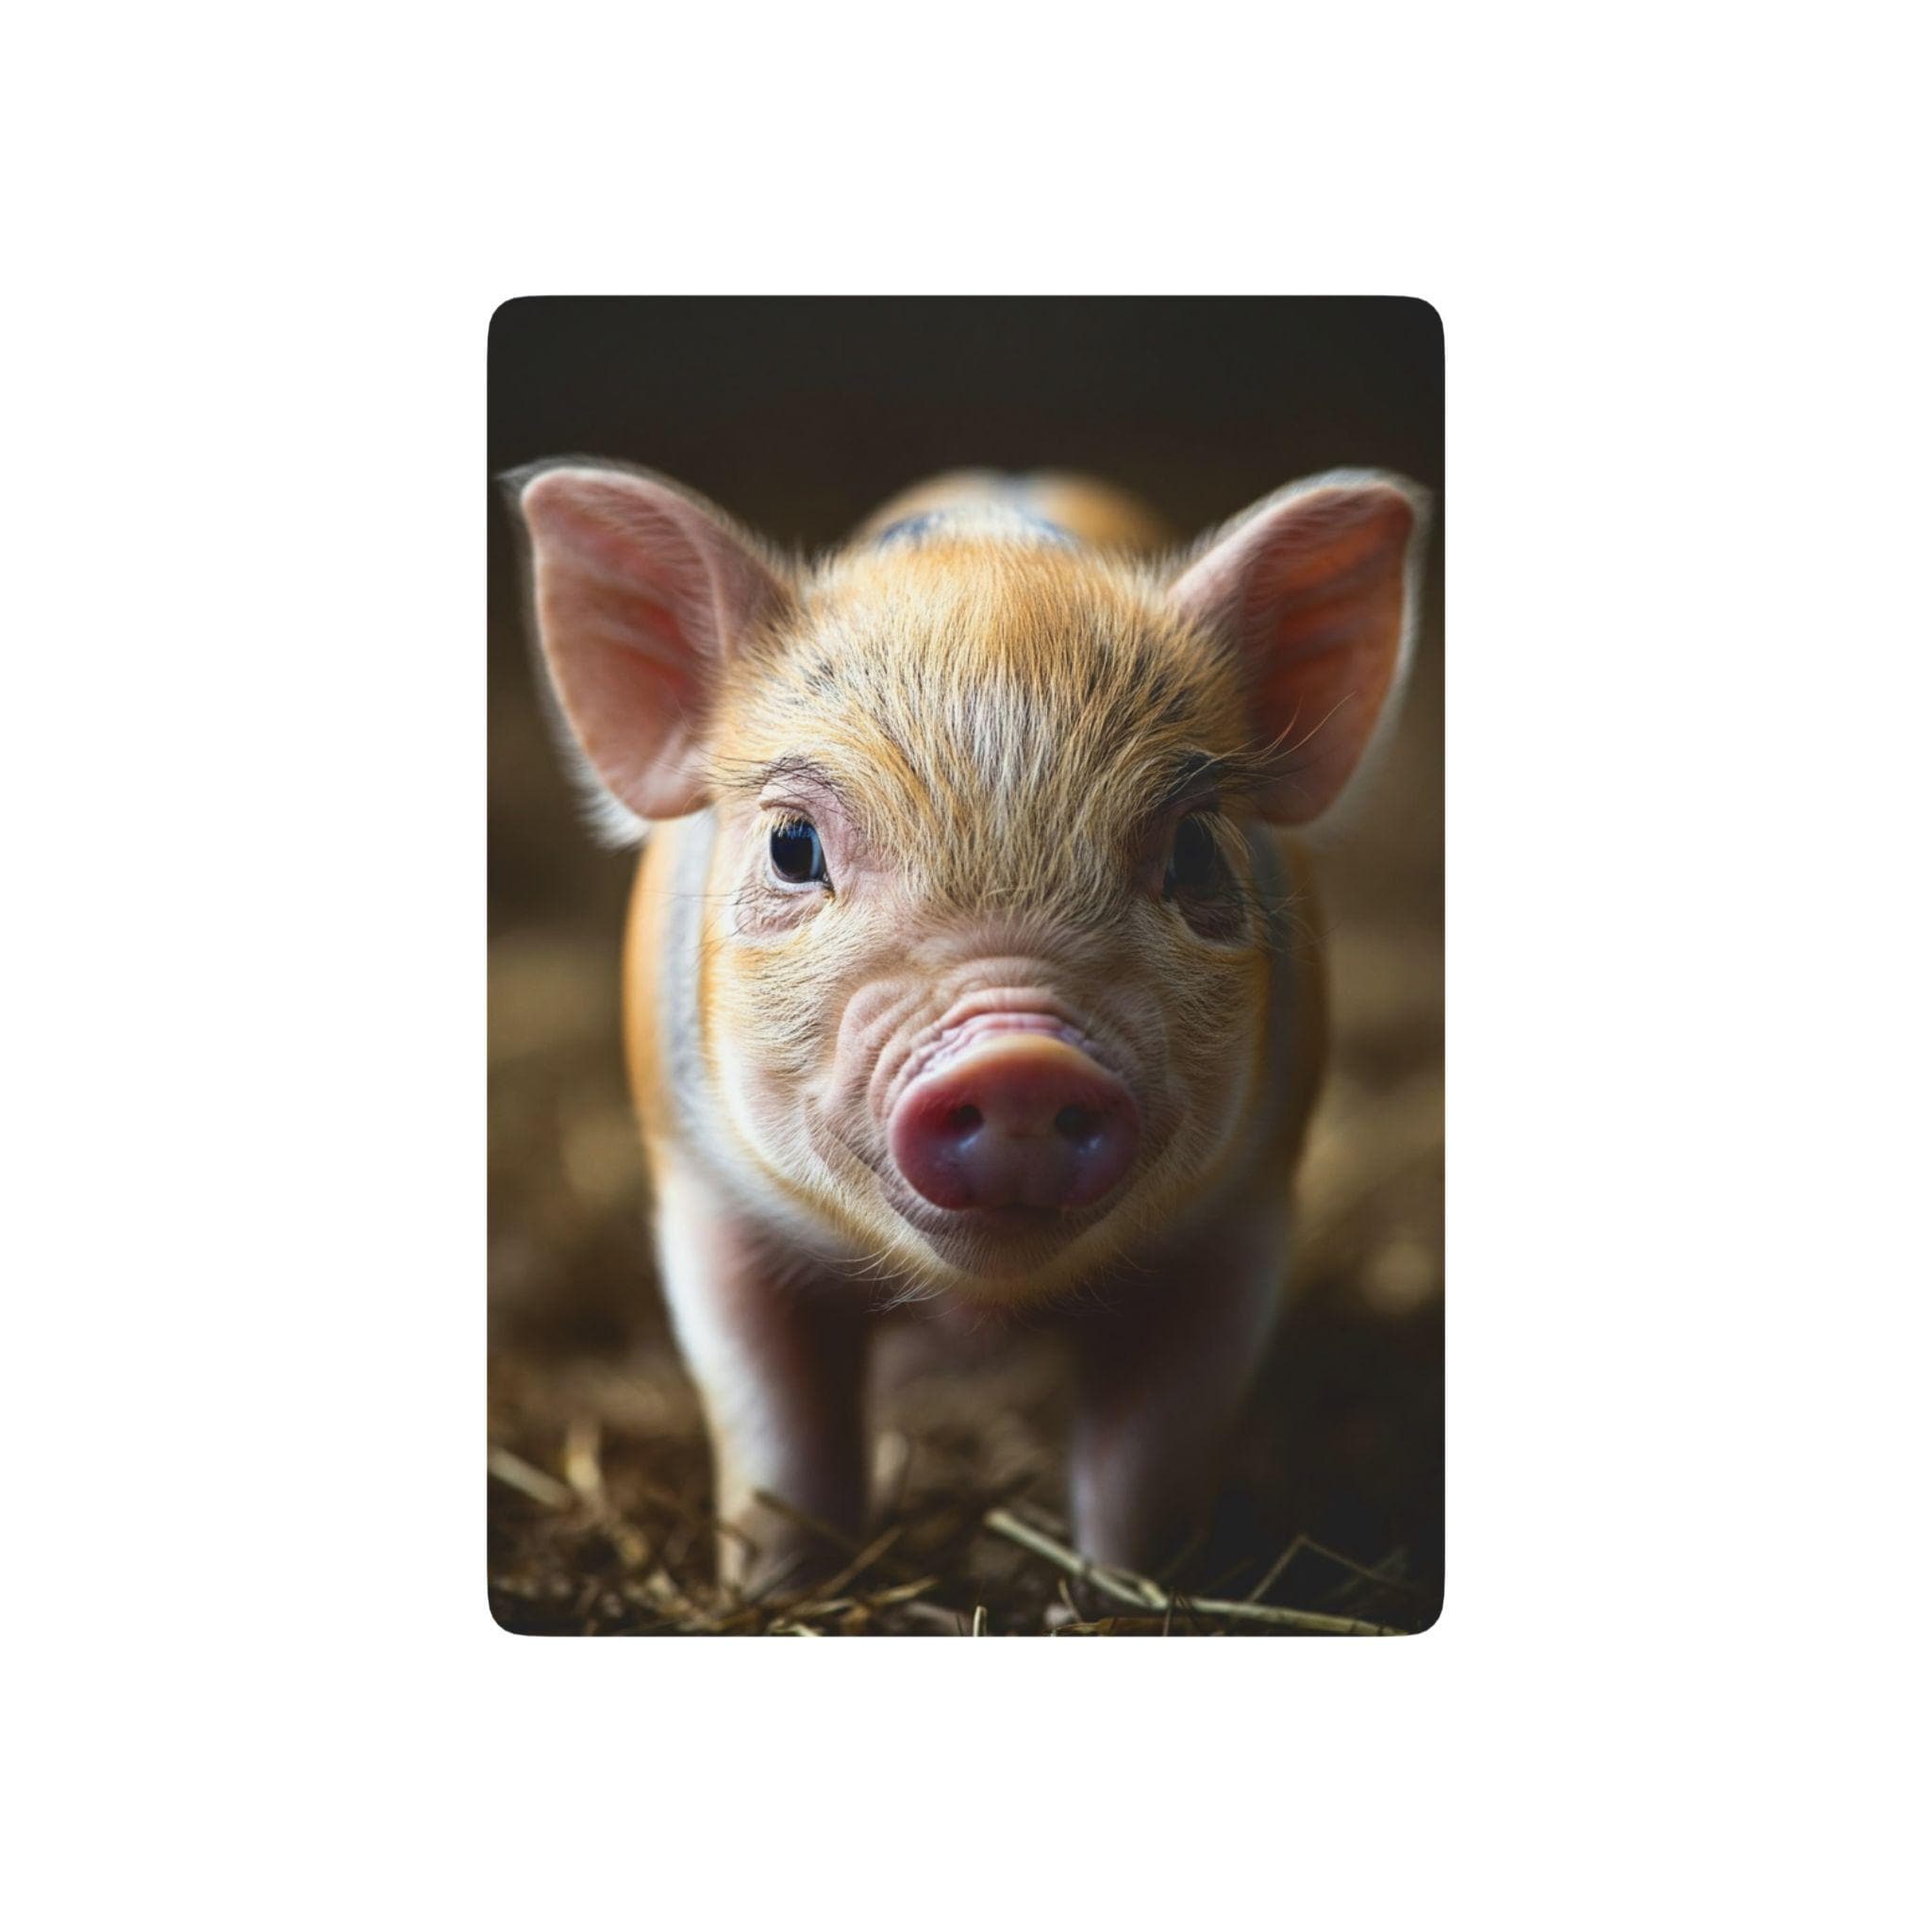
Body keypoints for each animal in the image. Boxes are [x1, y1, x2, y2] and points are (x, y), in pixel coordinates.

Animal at [508, 460, 1428, 1592]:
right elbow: (776, 1445)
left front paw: (1124, 1589)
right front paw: (771, 1589)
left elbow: (1146, 1464)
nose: (1019, 1057)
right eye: (792, 844)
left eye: (1196, 850)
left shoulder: (1242, 1217)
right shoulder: (705, 1202)